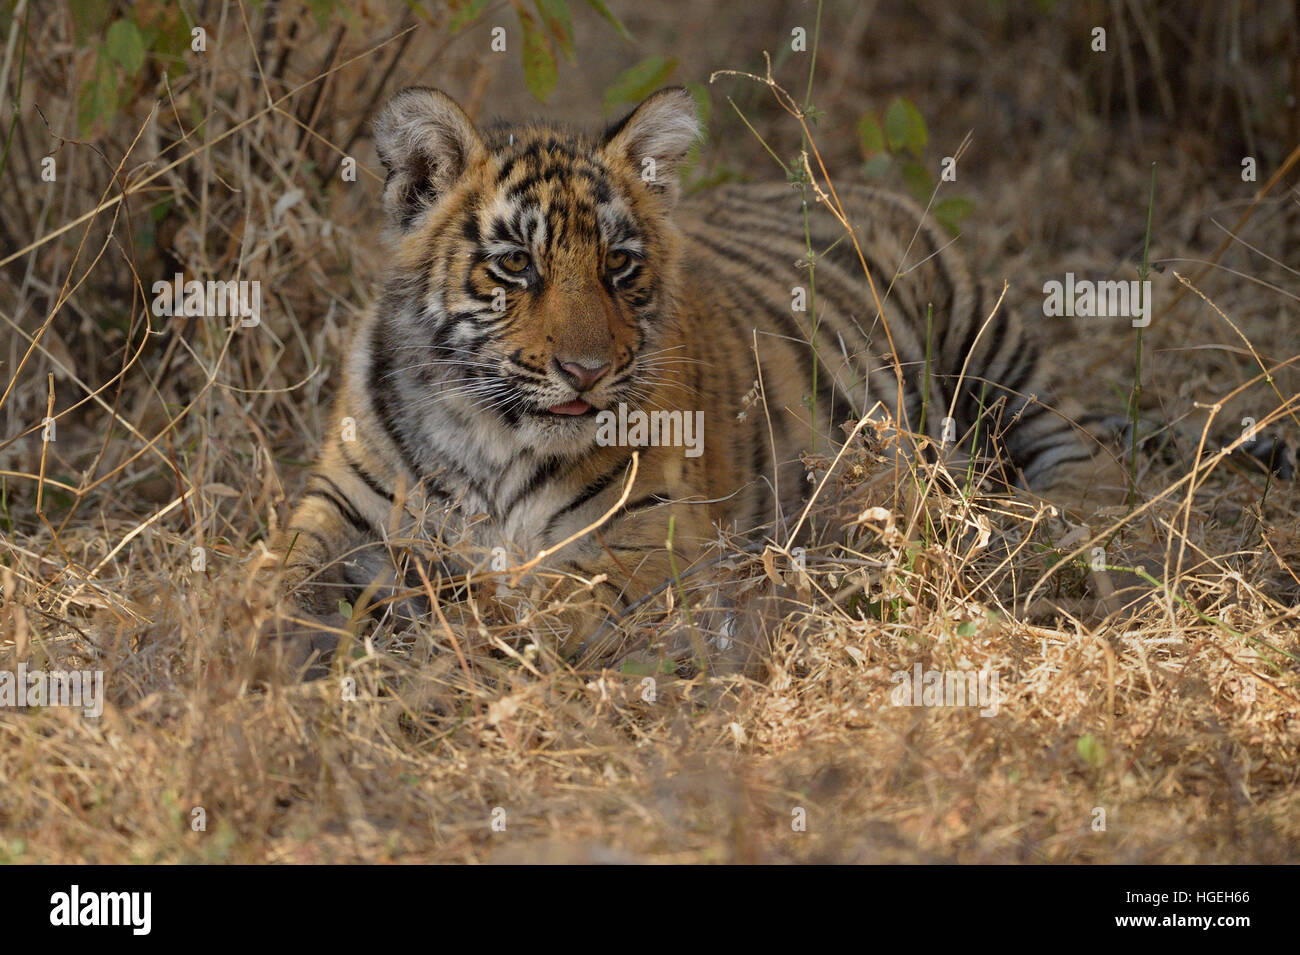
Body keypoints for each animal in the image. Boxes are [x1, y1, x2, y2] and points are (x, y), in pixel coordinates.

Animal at [264, 85, 1124, 671]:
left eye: (618, 265)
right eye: (516, 264)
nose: (586, 371)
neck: (487, 435)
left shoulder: (637, 543)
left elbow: (529, 614)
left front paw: (436, 651)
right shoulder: (339, 508)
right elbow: (274, 579)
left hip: (993, 350)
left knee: (1092, 461)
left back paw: (1021, 527)